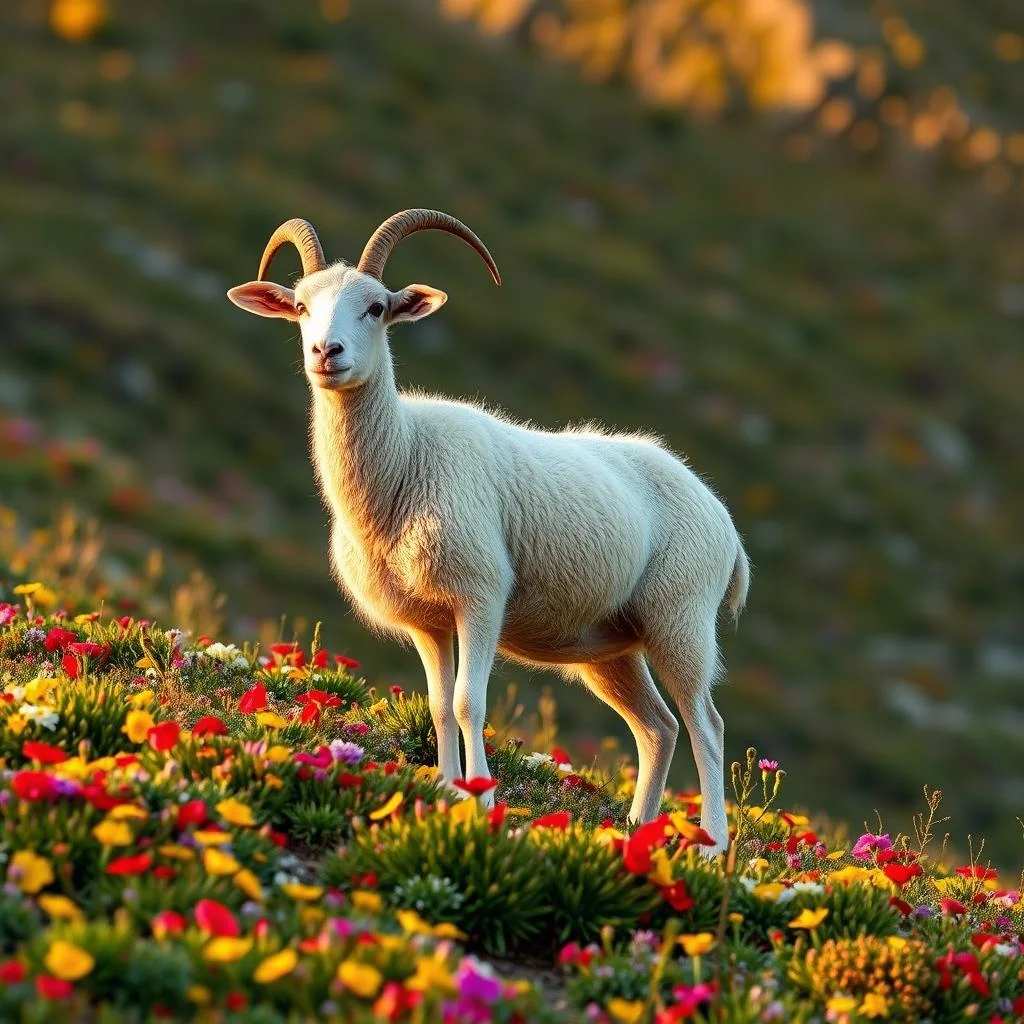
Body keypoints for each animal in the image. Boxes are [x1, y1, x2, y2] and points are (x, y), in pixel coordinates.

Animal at [227, 210, 749, 852]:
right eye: (300, 306)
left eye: (376, 307)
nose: (328, 352)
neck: (404, 459)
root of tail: (723, 517)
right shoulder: (427, 621)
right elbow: (437, 707)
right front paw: (449, 794)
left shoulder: (479, 596)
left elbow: (468, 703)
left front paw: (483, 800)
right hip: (612, 641)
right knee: (659, 727)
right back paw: (636, 832)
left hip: (682, 618)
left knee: (707, 725)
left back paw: (714, 845)